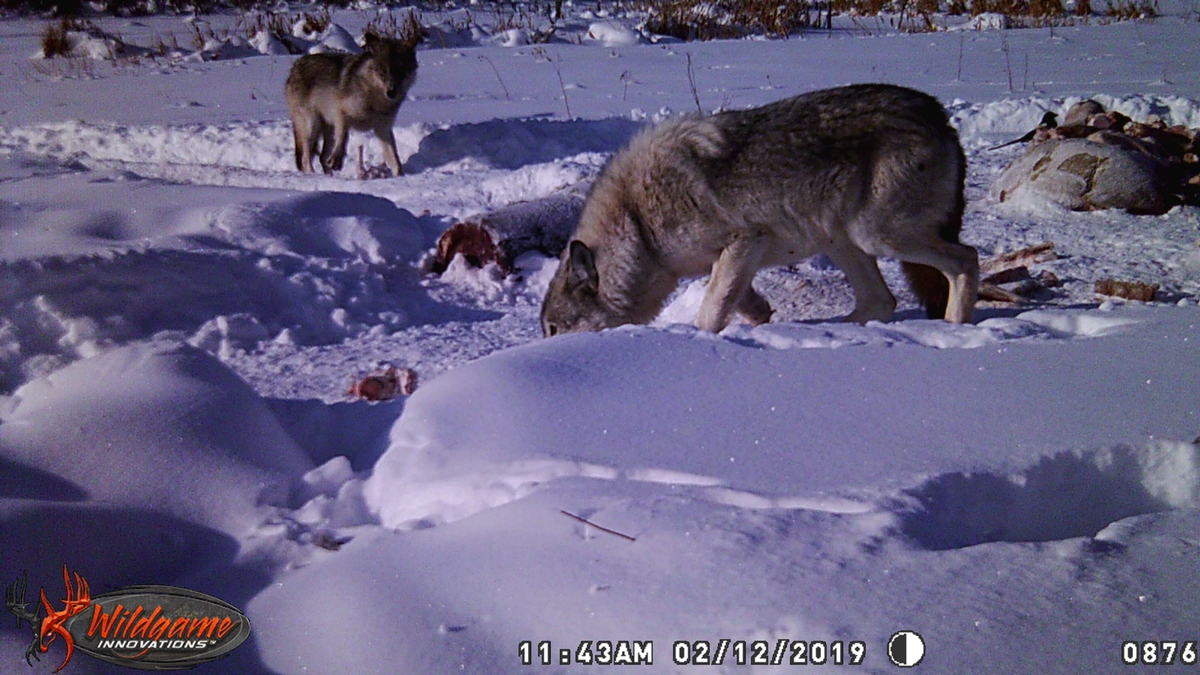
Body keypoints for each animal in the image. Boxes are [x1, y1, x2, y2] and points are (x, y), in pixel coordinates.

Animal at [285, 32, 418, 177]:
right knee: (306, 158)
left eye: (401, 72)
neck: (374, 100)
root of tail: (295, 66)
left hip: (327, 130)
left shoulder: (383, 129)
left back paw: (329, 176)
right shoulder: (340, 112)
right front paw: (337, 159)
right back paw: (314, 174)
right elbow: (344, 136)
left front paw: (400, 177)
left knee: (321, 157)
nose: (391, 92)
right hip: (311, 126)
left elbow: (395, 160)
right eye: (383, 72)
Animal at [540, 84, 978, 336]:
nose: (547, 350)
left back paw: (954, 329)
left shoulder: (745, 240)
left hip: (876, 236)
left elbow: (708, 316)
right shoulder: (732, 259)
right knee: (881, 302)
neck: (637, 223)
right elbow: (743, 306)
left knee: (966, 260)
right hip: (842, 241)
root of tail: (940, 117)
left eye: (553, 330)